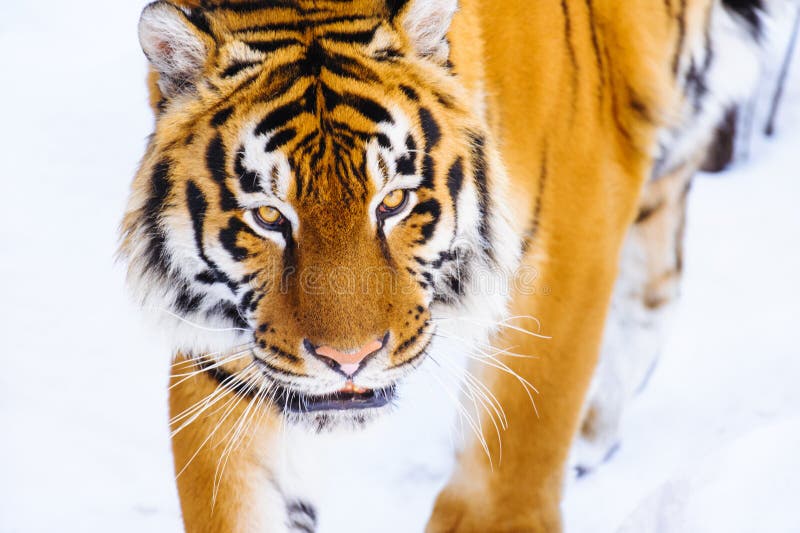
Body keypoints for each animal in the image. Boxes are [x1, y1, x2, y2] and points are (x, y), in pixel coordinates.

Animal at [119, 0, 738, 531]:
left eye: (394, 201)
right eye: (269, 215)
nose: (350, 360)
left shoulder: (569, 238)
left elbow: (515, 456)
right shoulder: (234, 344)